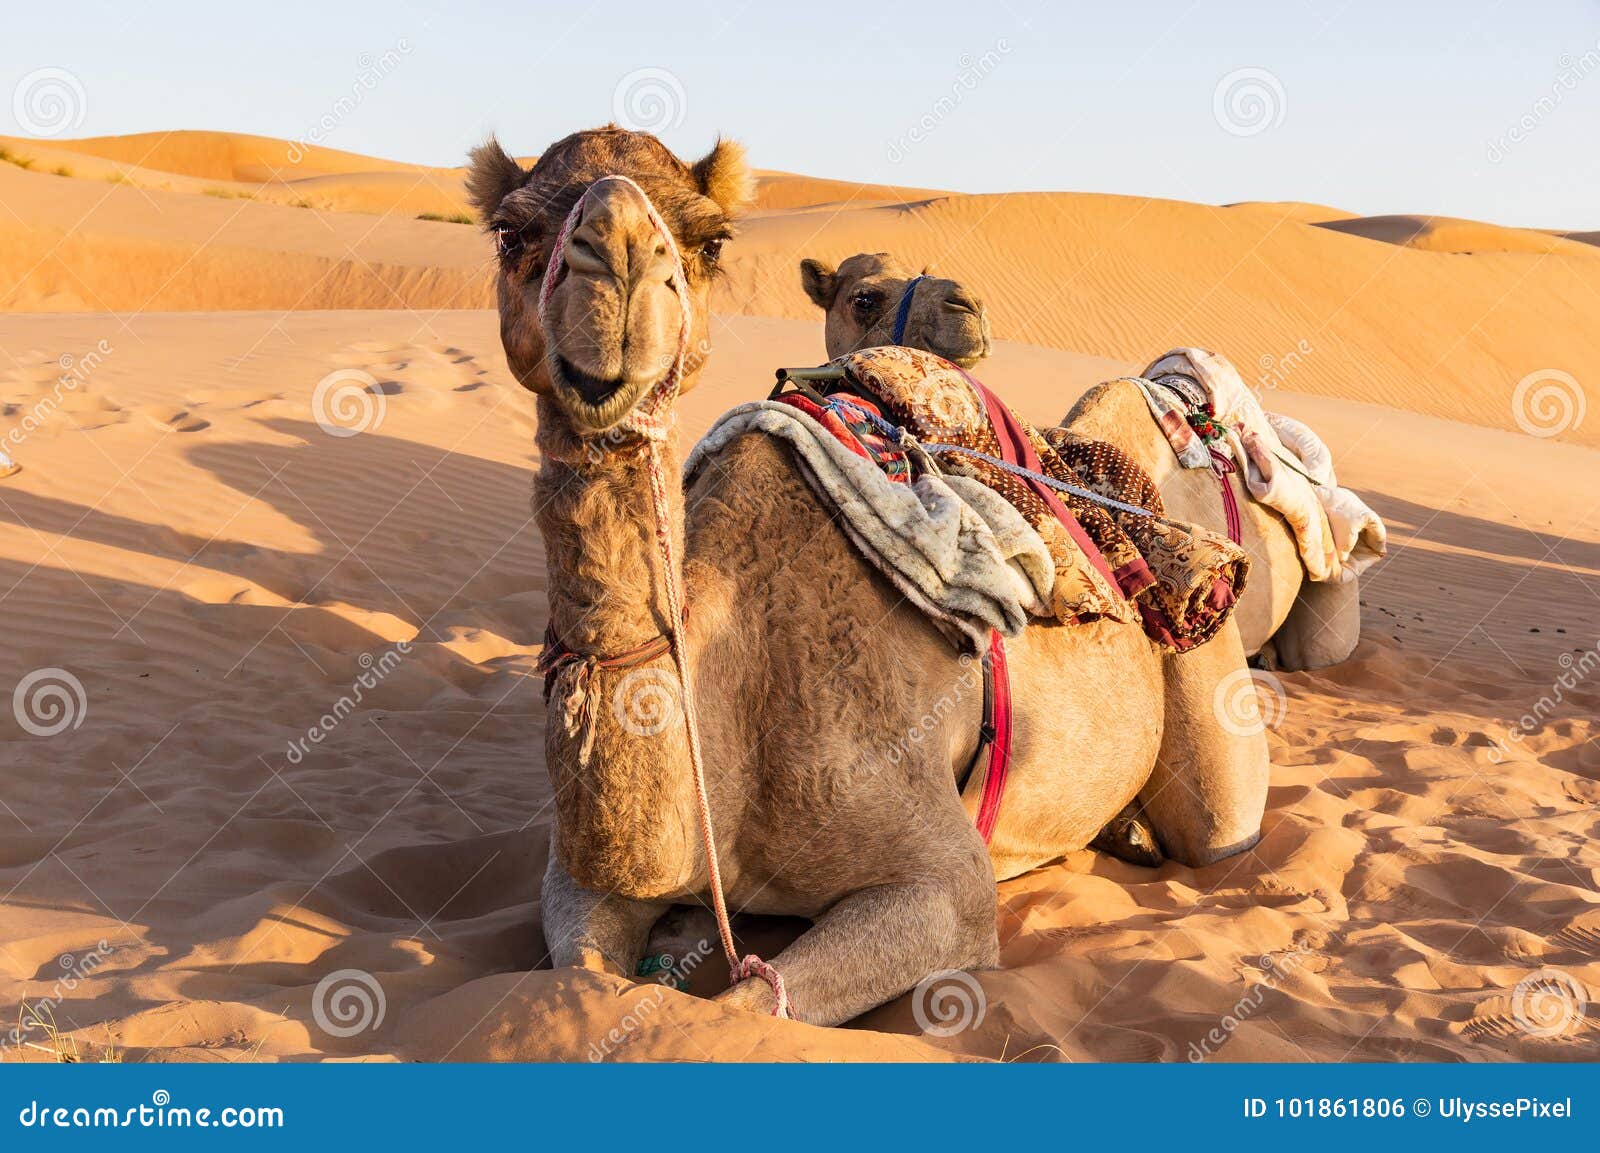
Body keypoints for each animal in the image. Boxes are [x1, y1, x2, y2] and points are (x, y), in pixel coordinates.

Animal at [472, 126, 1268, 1027]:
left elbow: (745, 1006)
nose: (617, 263)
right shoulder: (577, 878)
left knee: (1218, 823)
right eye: (511, 233)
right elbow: (584, 977)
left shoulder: (946, 884)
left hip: (1207, 693)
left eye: (710, 239)